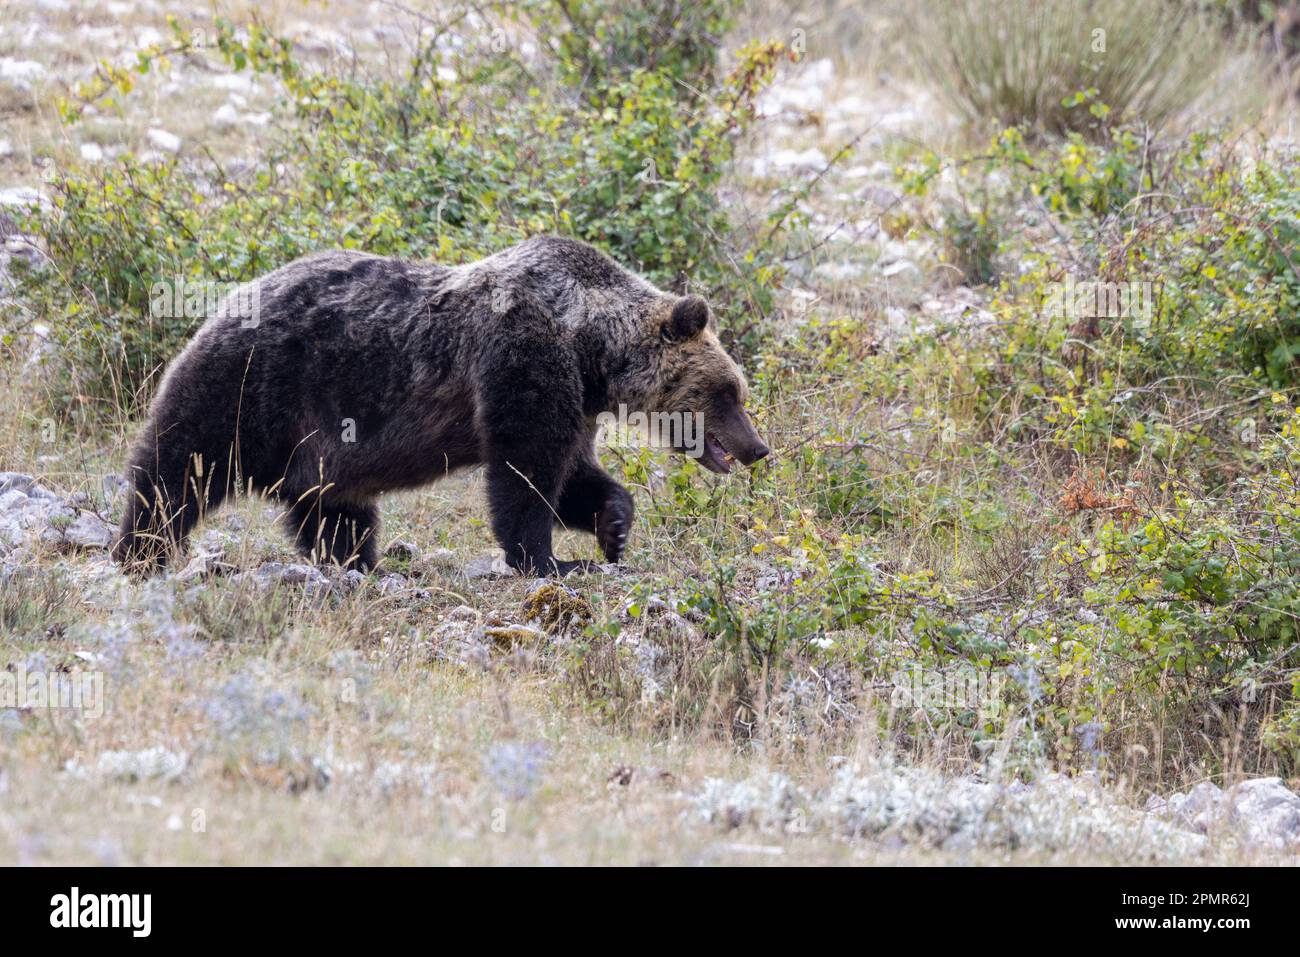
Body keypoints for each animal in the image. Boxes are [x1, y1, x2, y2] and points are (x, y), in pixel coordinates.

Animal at [112, 237, 769, 577]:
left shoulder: (575, 399)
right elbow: (524, 471)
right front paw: (548, 560)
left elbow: (571, 473)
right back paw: (141, 547)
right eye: (727, 393)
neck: (590, 346)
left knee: (334, 510)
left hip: (320, 445)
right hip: (254, 386)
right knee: (179, 465)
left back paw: (357, 564)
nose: (758, 447)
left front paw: (614, 526)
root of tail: (222, 304)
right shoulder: (521, 357)